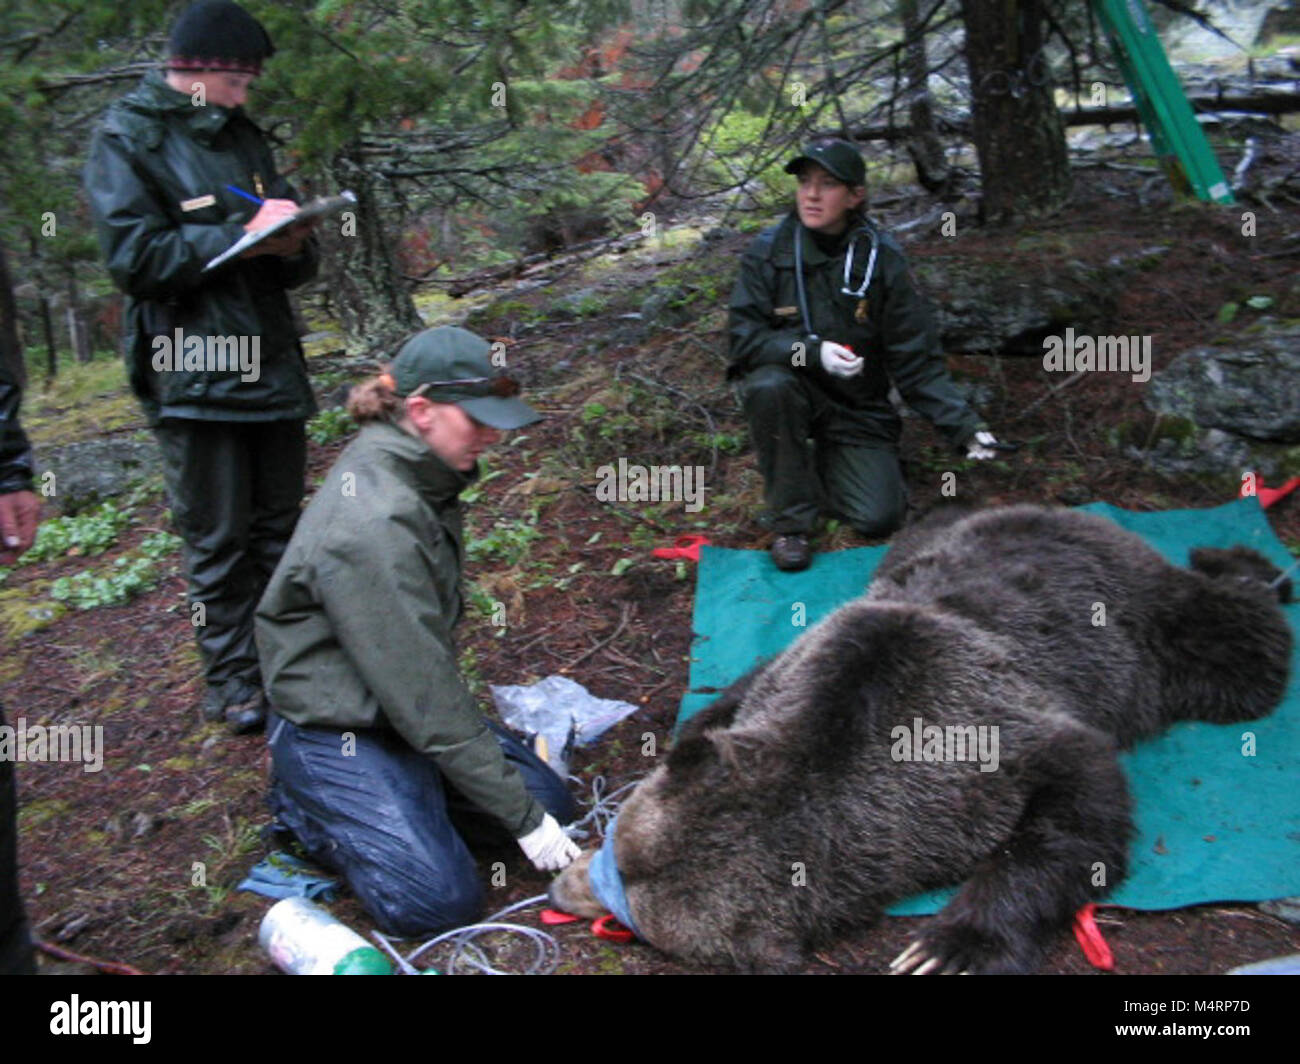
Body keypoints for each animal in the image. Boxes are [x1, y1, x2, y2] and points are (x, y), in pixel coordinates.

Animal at [548, 504, 1294, 973]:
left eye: (626, 910)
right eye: (614, 855)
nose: (560, 890)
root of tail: (1083, 517)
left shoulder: (992, 738)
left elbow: (1079, 805)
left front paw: (951, 945)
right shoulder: (810, 658)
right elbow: (730, 699)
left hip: (1154, 633)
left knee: (1241, 648)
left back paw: (1239, 560)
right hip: (942, 541)